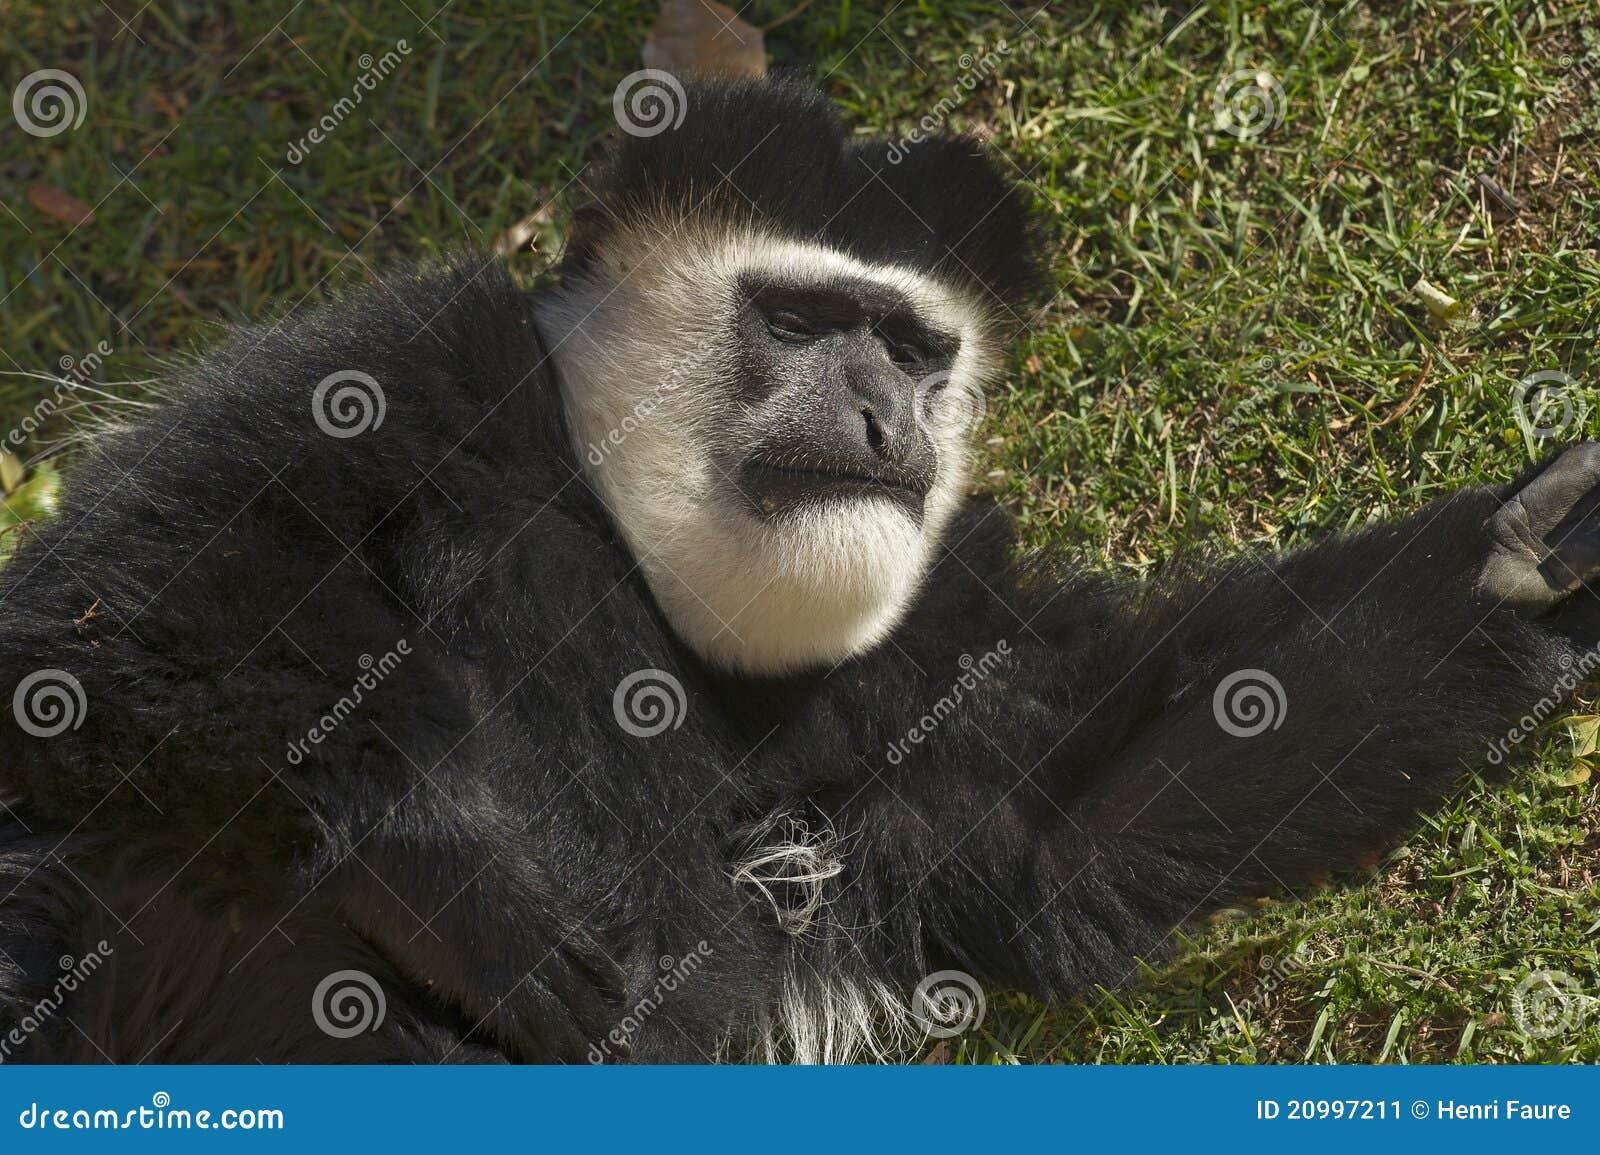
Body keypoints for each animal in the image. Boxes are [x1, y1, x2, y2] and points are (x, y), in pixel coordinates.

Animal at [2, 75, 1599, 1063]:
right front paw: (453, 870)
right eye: (799, 319)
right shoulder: (388, 368)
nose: (891, 421)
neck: (654, 576)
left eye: (915, 345)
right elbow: (91, 637)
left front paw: (1530, 553)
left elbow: (1070, 823)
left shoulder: (924, 652)